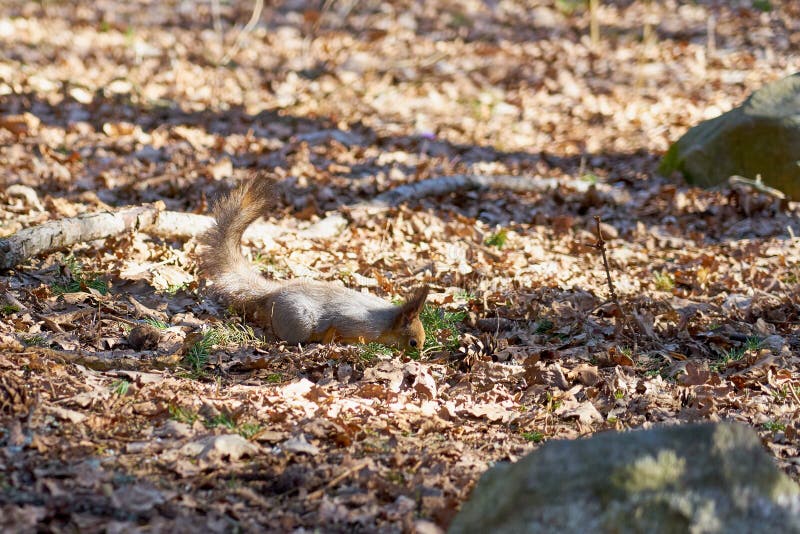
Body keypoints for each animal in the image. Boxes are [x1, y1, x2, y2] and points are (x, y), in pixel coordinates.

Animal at [198, 175, 428, 351]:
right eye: (413, 342)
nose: (420, 355)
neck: (387, 321)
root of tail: (273, 294)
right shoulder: (356, 323)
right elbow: (335, 329)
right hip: (299, 321)